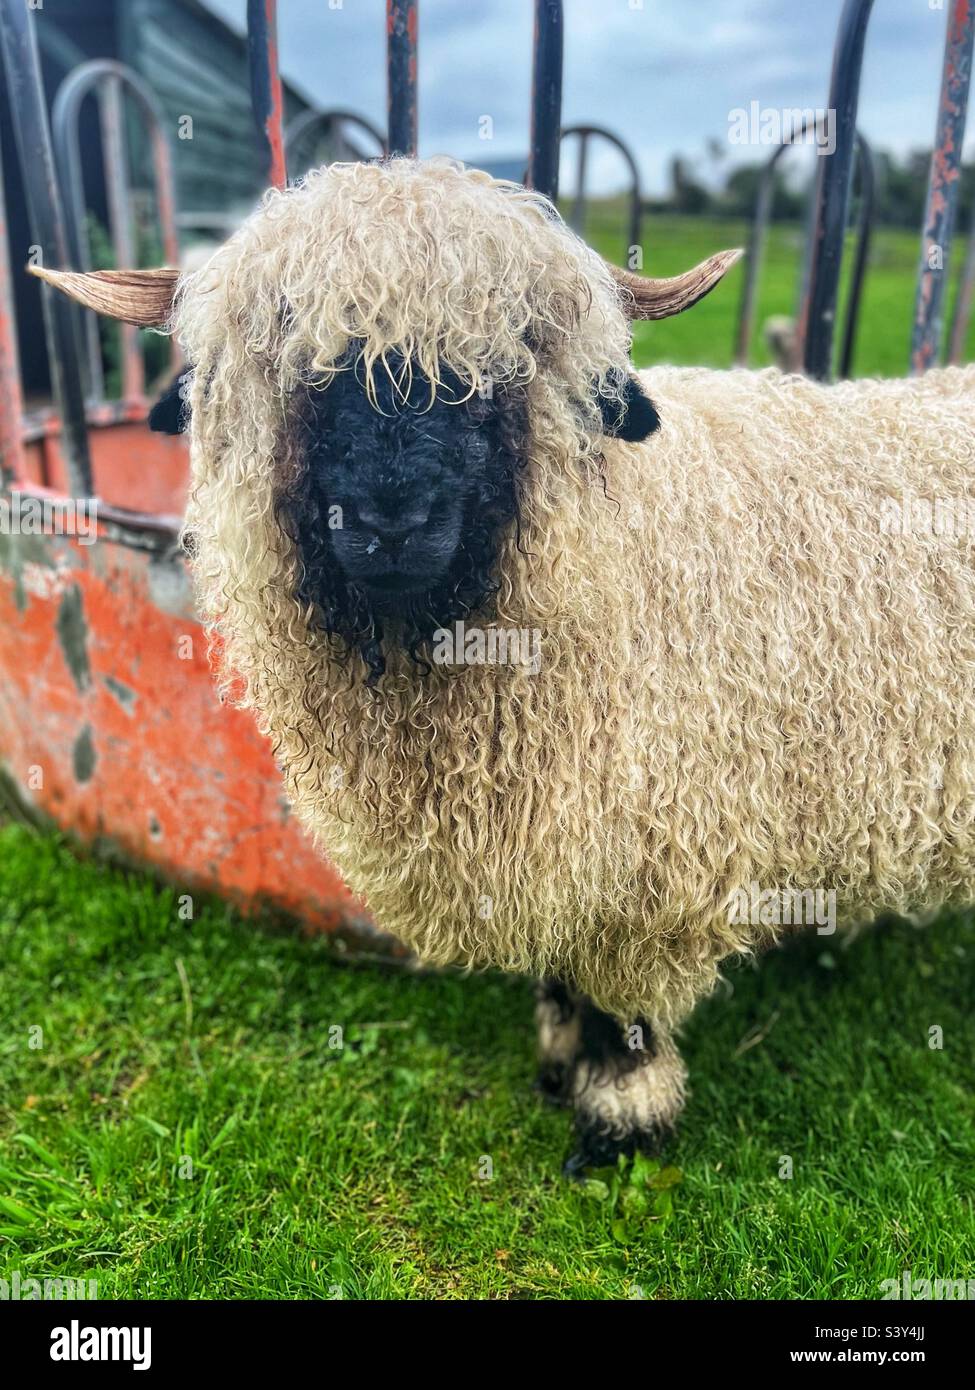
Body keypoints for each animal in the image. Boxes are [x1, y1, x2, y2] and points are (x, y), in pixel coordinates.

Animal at [33, 157, 975, 1171]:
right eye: (303, 375)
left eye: (495, 375)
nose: (391, 522)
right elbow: (565, 974)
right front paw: (558, 1059)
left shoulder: (657, 854)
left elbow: (623, 1009)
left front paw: (616, 1120)